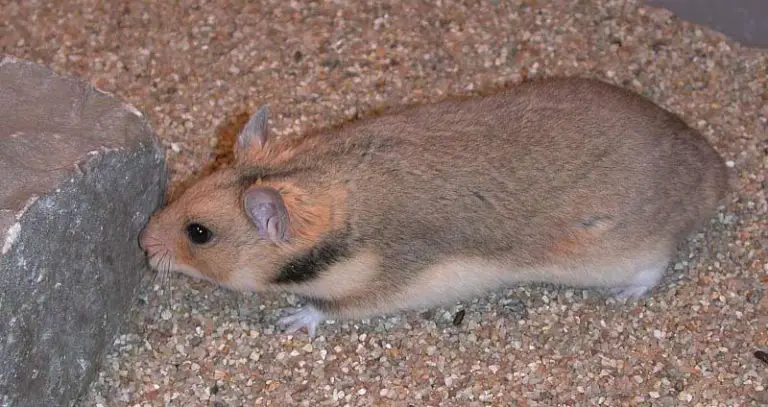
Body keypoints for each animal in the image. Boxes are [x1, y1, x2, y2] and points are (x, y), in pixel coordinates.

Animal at [139, 77, 730, 337]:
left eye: (198, 232)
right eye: (191, 184)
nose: (141, 242)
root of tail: (717, 171)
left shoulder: (388, 286)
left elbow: (331, 307)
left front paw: (292, 319)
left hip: (616, 253)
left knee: (655, 264)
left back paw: (626, 296)